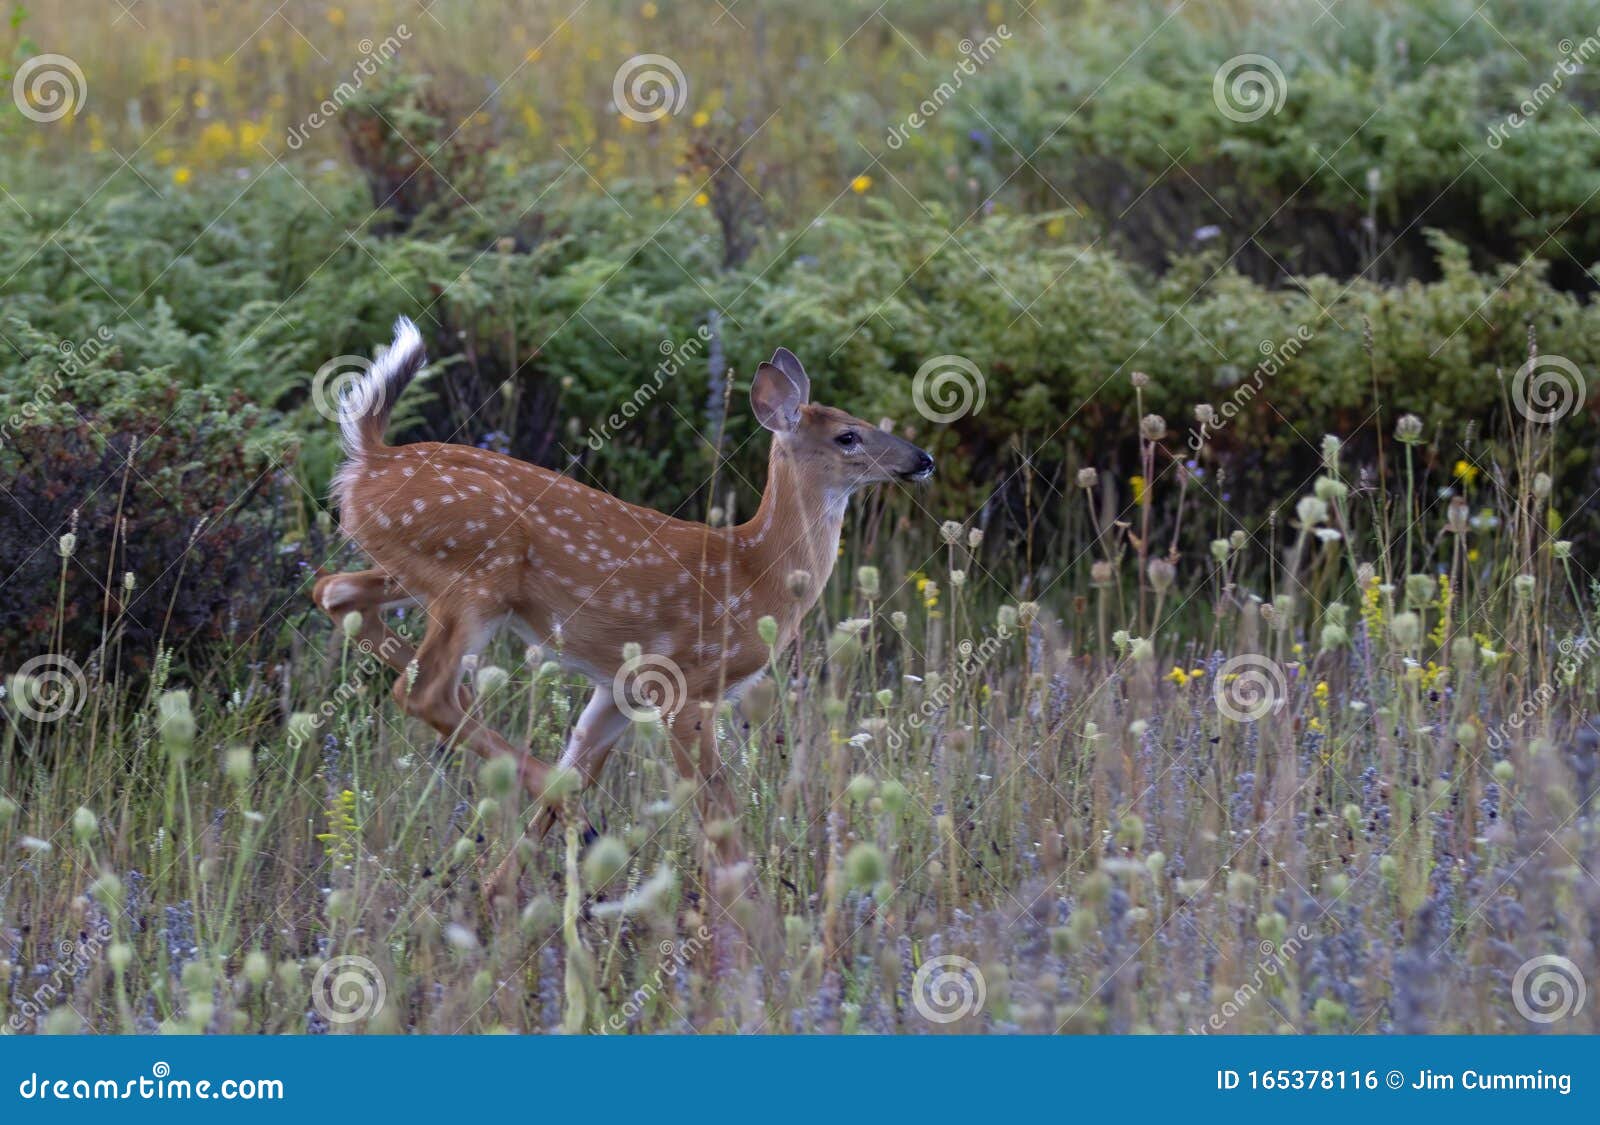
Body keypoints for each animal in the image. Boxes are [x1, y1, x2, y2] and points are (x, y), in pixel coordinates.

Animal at [312, 317, 934, 883]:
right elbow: (720, 818)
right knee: (421, 690)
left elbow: (577, 772)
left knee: (336, 593)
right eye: (848, 436)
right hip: (477, 579)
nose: (922, 459)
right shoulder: (687, 686)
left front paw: (499, 898)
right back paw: (569, 807)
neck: (757, 570)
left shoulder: (618, 690)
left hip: (418, 573)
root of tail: (369, 459)